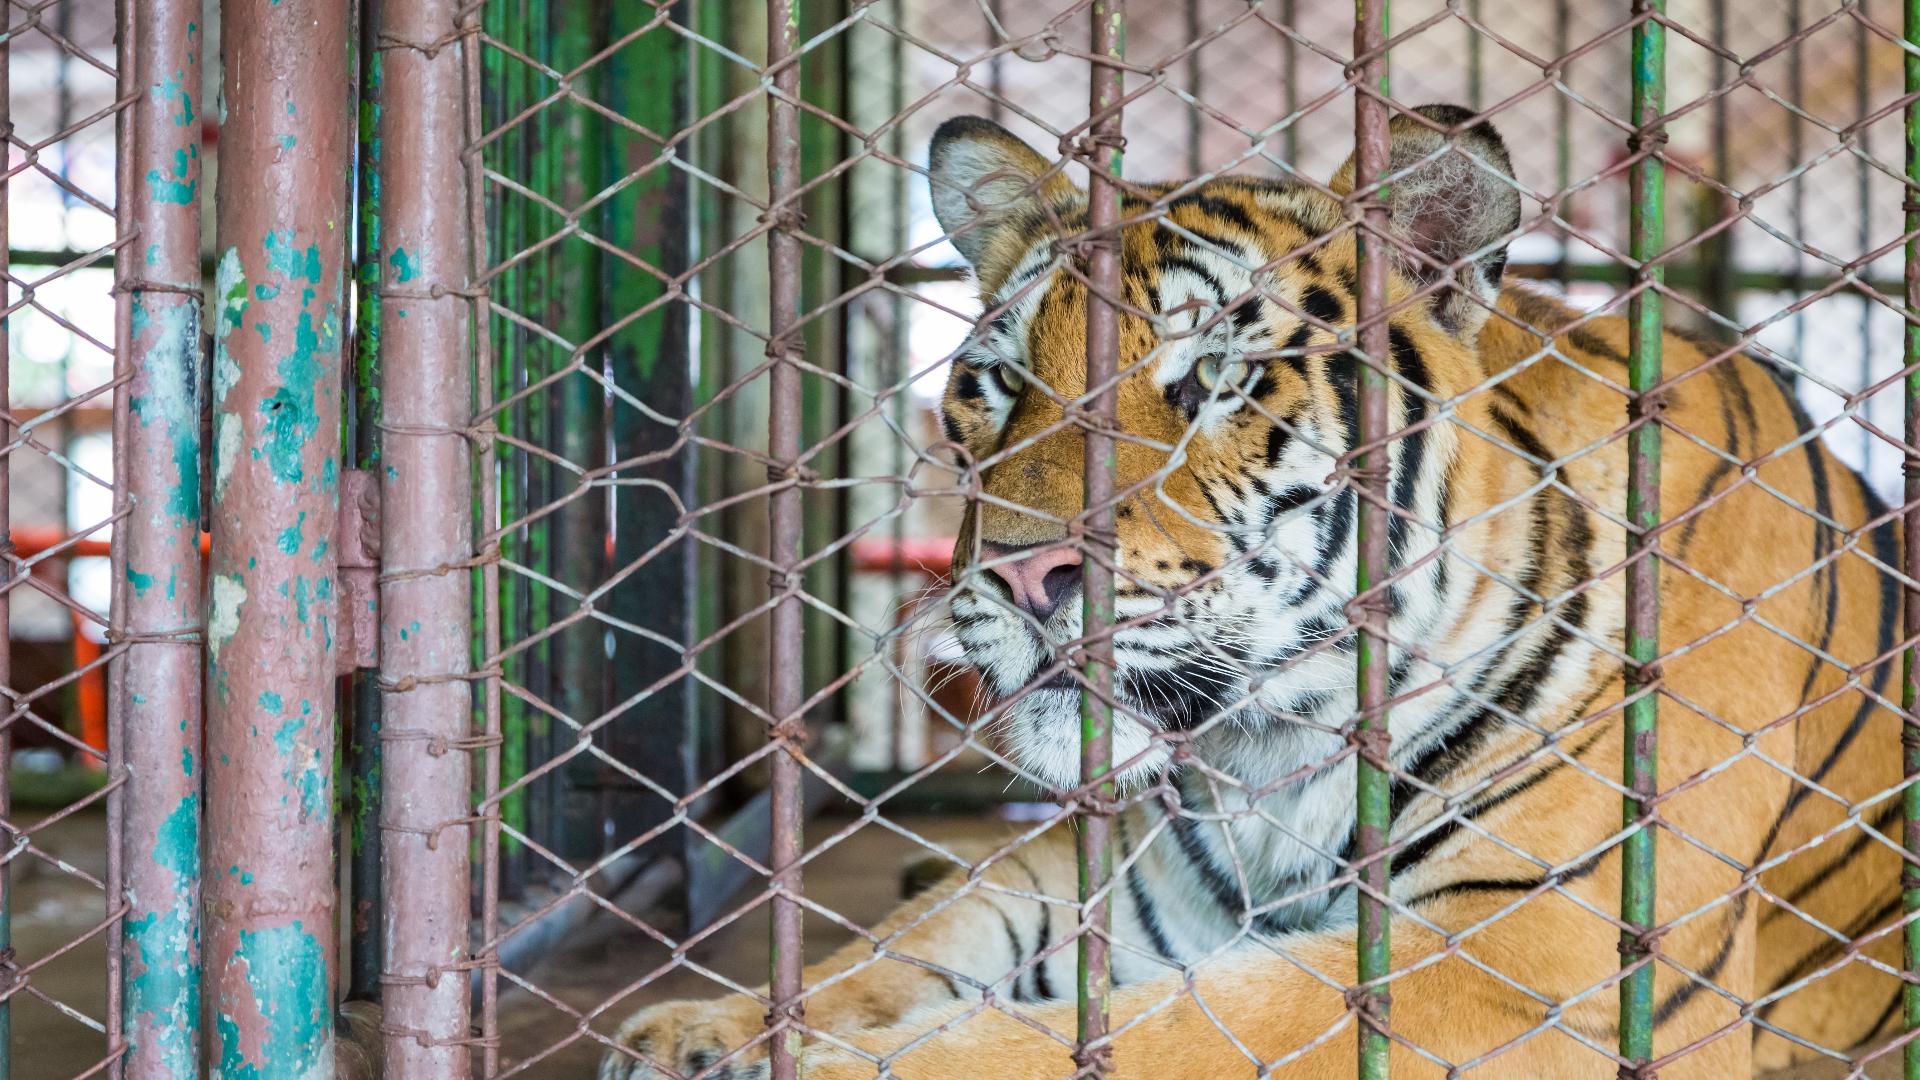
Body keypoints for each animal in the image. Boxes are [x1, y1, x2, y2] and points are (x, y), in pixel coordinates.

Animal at [601, 104, 1907, 1078]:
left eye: (1213, 379)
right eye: (996, 382)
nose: (1021, 573)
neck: (1280, 751)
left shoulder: (1531, 958)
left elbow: (1150, 1036)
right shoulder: (1124, 871)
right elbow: (921, 937)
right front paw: (705, 1031)